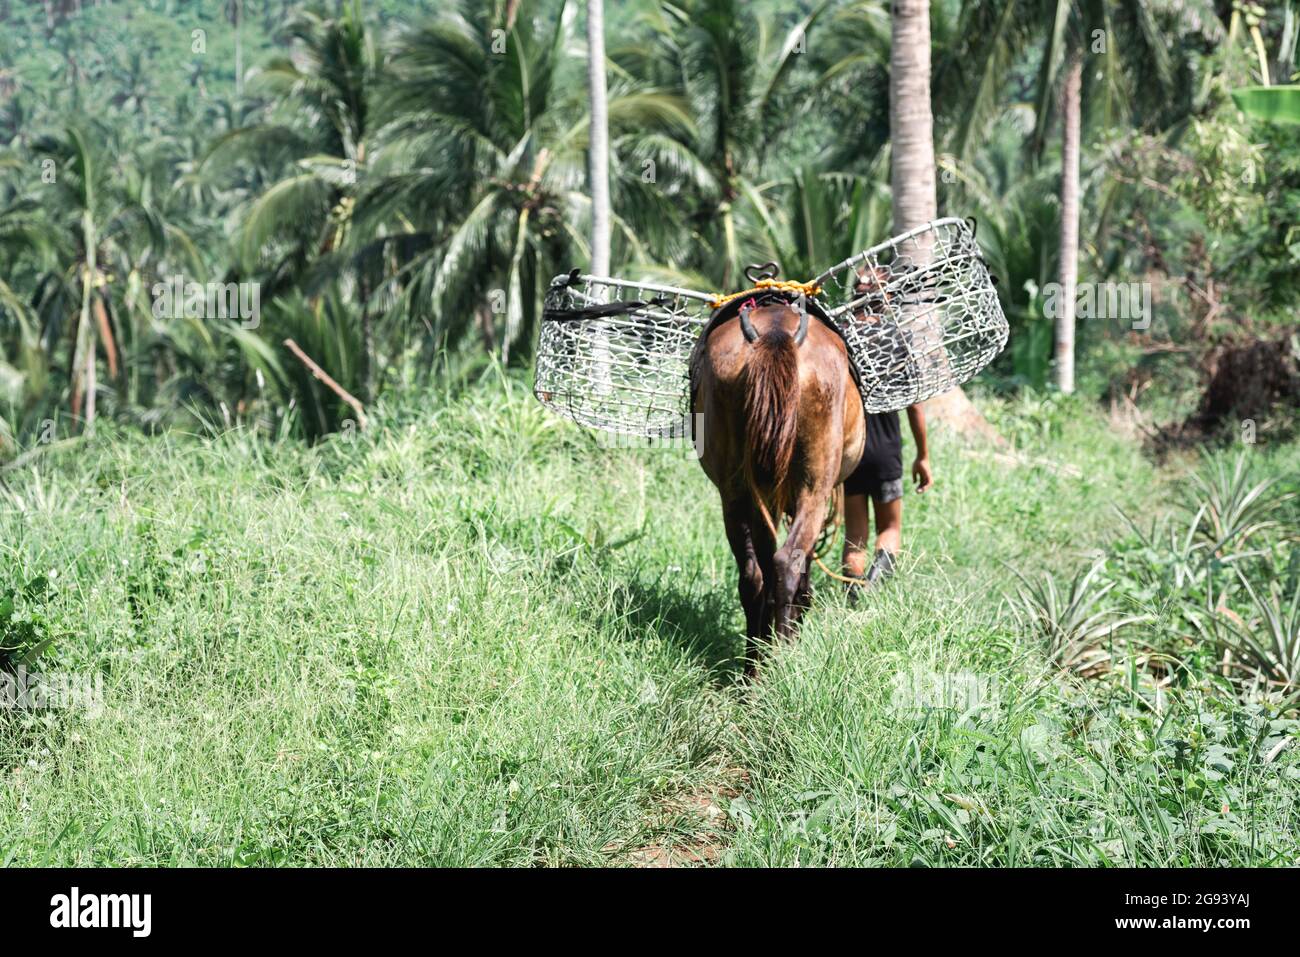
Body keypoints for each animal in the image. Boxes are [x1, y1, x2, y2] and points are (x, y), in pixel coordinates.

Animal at [693, 293, 865, 678]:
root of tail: (775, 334)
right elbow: (803, 574)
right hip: (814, 490)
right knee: (787, 564)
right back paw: (782, 662)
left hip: (736, 491)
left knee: (755, 574)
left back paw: (753, 670)